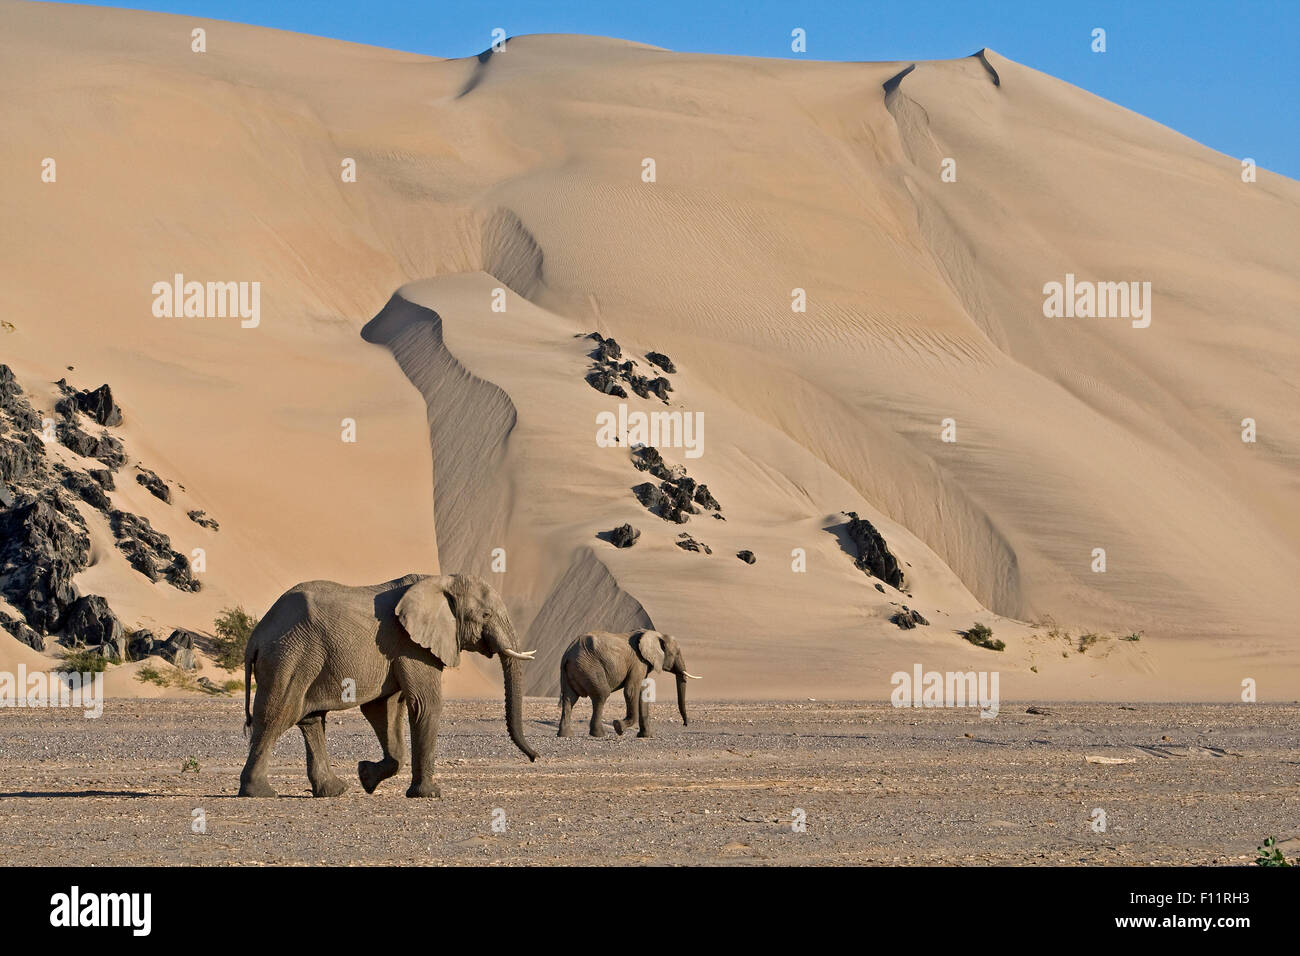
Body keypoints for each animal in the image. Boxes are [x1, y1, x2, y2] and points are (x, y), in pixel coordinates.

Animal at [238, 573, 538, 798]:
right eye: (485, 615)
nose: (535, 757)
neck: (441, 581)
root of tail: (256, 636)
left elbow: (386, 710)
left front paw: (366, 777)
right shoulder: (411, 645)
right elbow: (425, 704)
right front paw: (428, 794)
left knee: (310, 720)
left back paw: (334, 790)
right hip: (289, 657)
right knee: (277, 717)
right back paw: (259, 792)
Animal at [557, 629, 700, 738]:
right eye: (677, 653)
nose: (685, 724)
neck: (655, 634)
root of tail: (567, 654)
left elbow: (643, 693)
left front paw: (646, 736)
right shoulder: (638, 662)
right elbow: (631, 691)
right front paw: (618, 726)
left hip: (573, 670)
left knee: (569, 698)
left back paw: (565, 735)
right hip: (589, 667)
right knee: (601, 695)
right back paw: (599, 734)